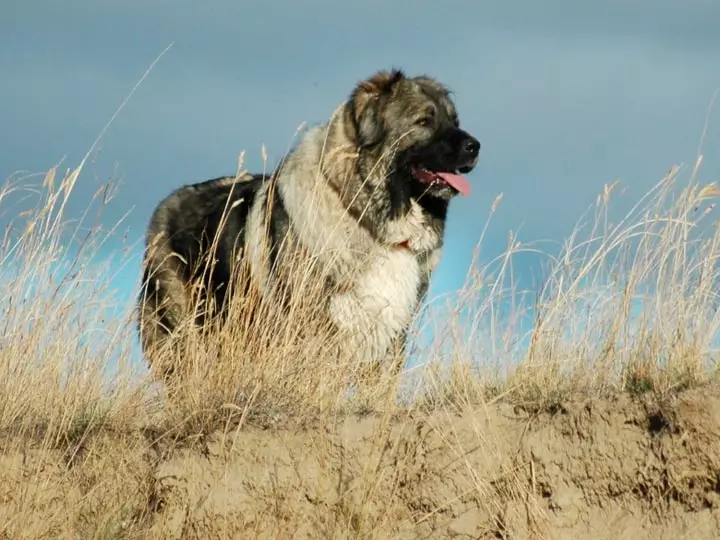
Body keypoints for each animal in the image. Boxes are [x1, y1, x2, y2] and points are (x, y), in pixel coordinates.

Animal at [138, 68, 480, 380]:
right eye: (424, 121)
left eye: (455, 121)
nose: (475, 146)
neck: (362, 217)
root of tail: (165, 204)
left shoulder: (392, 329)